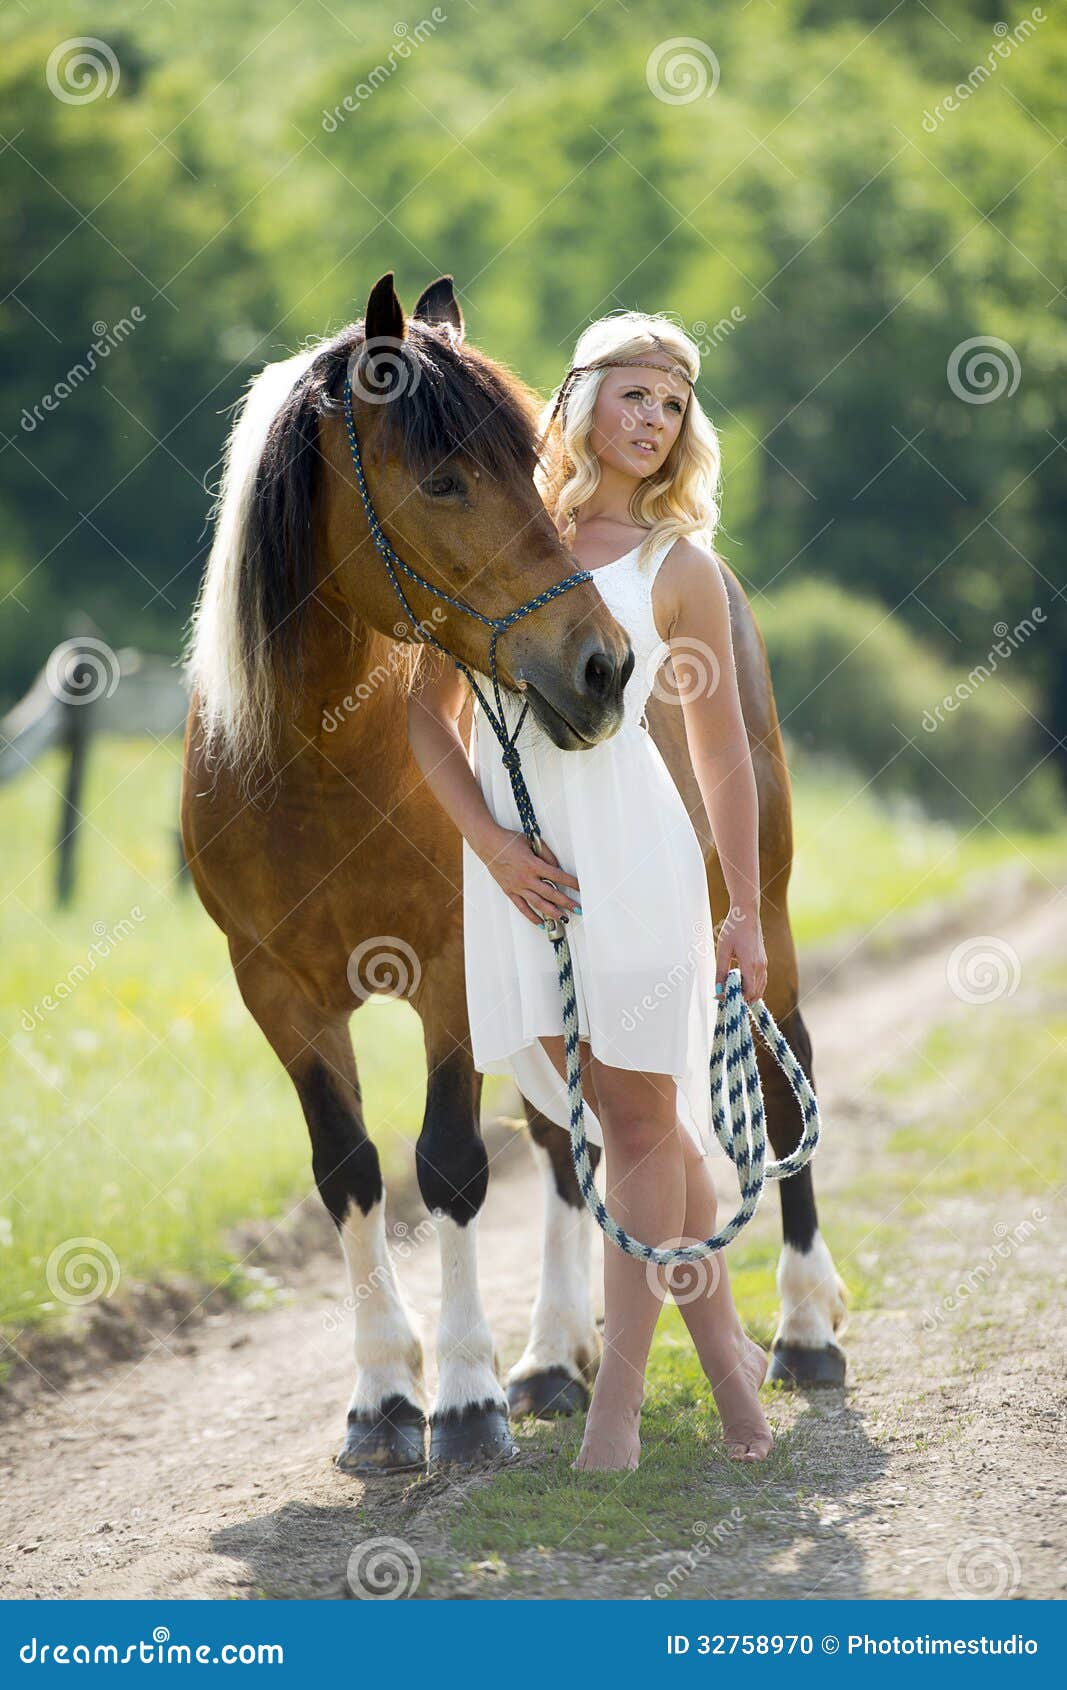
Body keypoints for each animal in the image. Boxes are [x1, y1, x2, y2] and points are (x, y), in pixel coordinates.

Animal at [180, 270, 846, 1474]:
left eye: (529, 470)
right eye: (443, 479)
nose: (601, 667)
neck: (312, 766)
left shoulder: (451, 974)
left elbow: (447, 1164)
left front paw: (461, 1400)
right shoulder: (278, 992)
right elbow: (349, 1170)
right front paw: (382, 1400)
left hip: (752, 912)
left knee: (779, 1078)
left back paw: (804, 1330)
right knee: (569, 1139)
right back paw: (555, 1355)